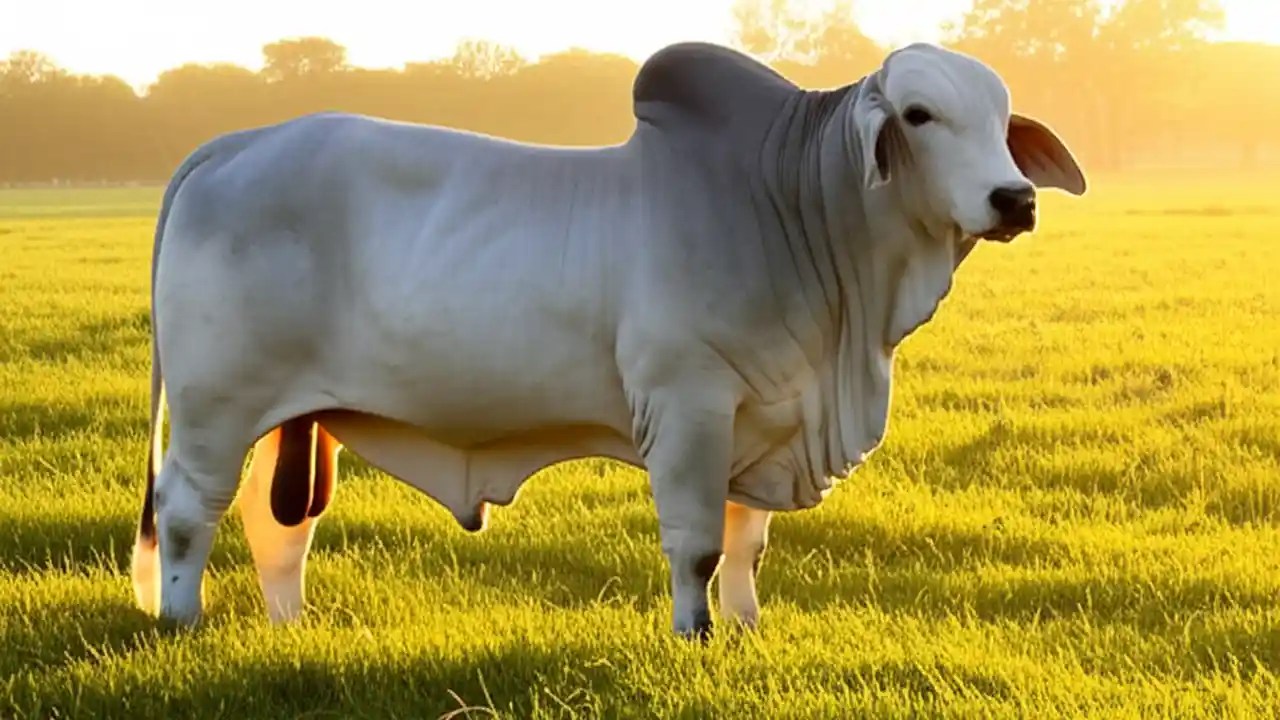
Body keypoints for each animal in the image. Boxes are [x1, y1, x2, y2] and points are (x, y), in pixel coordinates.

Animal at [129, 41, 1086, 639]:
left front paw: (746, 628)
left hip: (294, 416)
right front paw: (695, 637)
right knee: (187, 511)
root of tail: (232, 145)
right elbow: (698, 545)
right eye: (919, 115)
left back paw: (289, 625)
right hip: (216, 408)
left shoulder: (763, 415)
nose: (1013, 199)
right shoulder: (690, 405)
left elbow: (747, 543)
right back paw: (182, 621)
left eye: (1001, 119)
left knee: (274, 523)